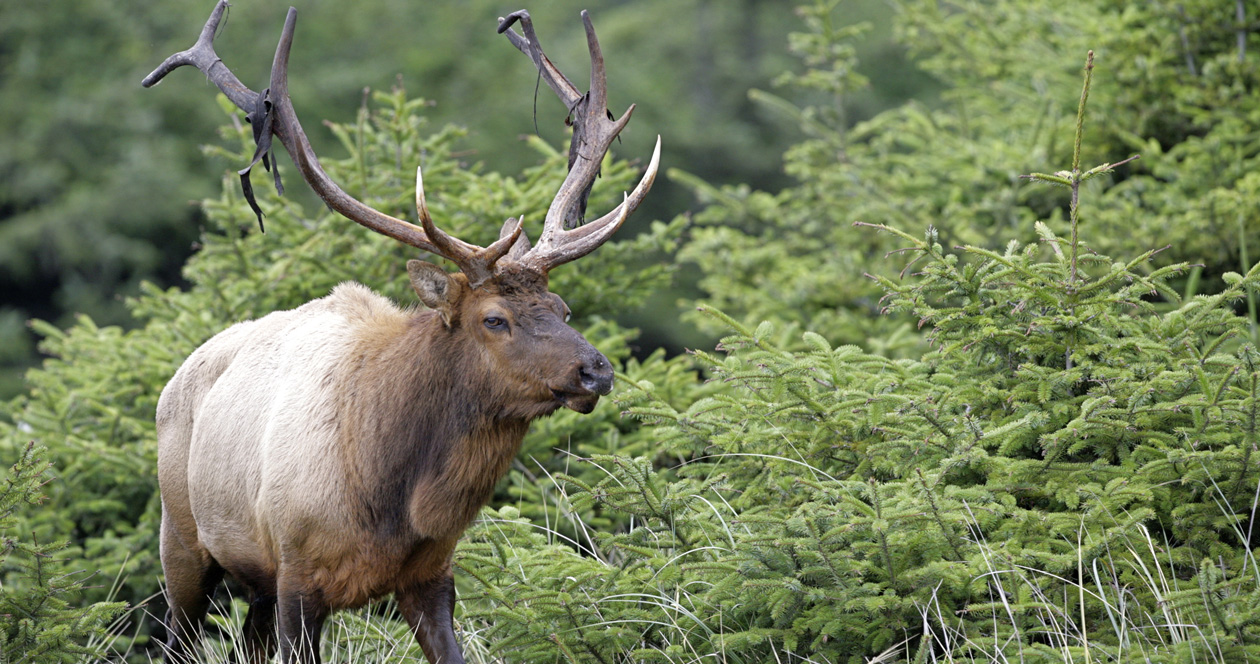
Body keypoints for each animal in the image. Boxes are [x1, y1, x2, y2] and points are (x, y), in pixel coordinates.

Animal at [142, 3, 659, 663]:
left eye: (563, 308)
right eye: (494, 318)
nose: (597, 370)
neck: (394, 503)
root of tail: (178, 375)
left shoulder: (431, 575)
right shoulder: (295, 573)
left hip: (250, 581)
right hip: (182, 540)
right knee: (174, 635)